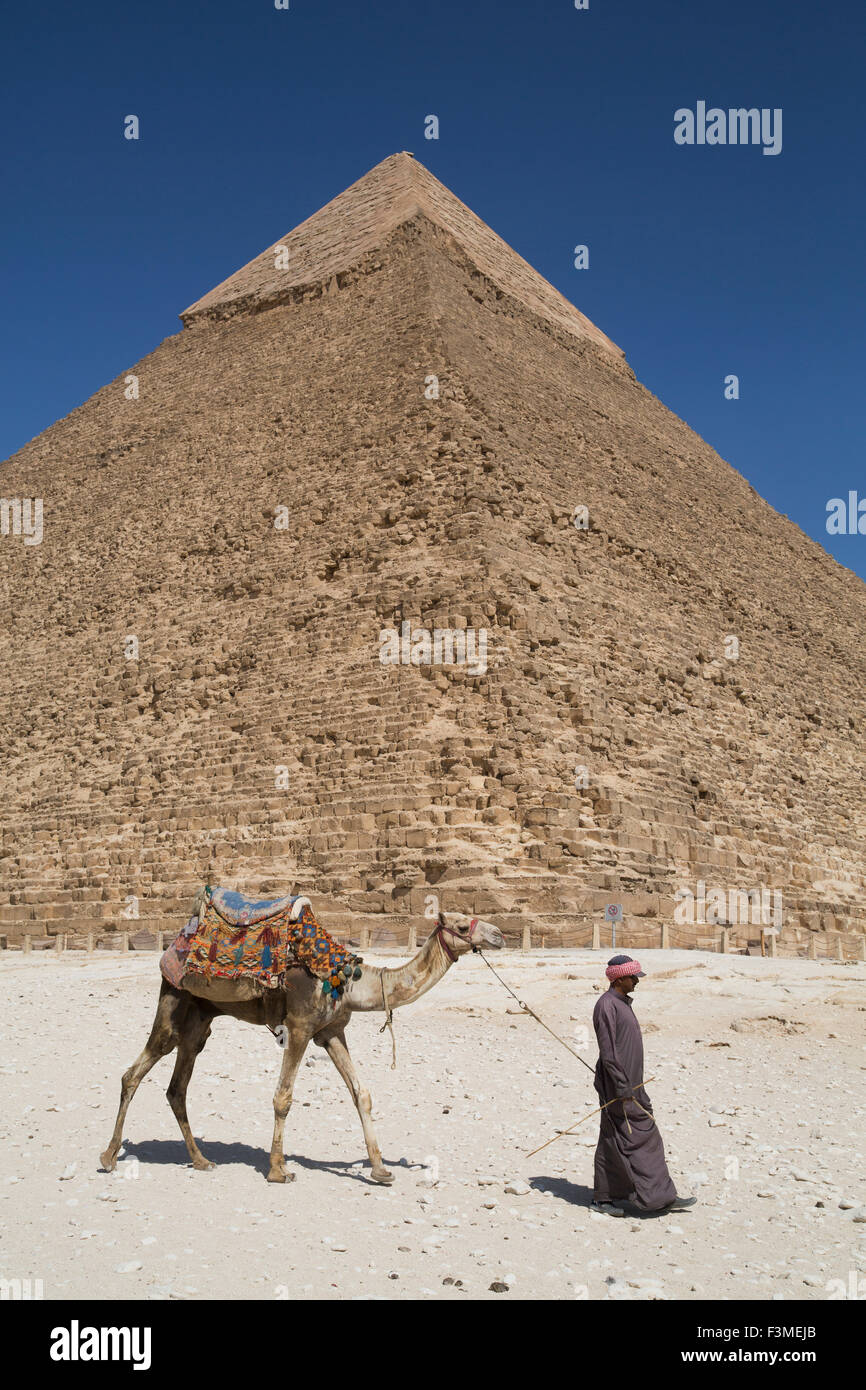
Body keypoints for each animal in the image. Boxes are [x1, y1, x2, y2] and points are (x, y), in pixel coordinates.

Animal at [100, 905, 504, 1184]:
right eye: (461, 924)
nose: (499, 934)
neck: (349, 982)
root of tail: (174, 944)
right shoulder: (299, 1026)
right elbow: (283, 1097)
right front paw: (279, 1170)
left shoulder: (331, 1031)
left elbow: (361, 1094)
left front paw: (380, 1170)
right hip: (174, 1003)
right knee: (133, 1073)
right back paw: (109, 1156)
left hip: (200, 1022)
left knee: (176, 1088)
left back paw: (200, 1160)